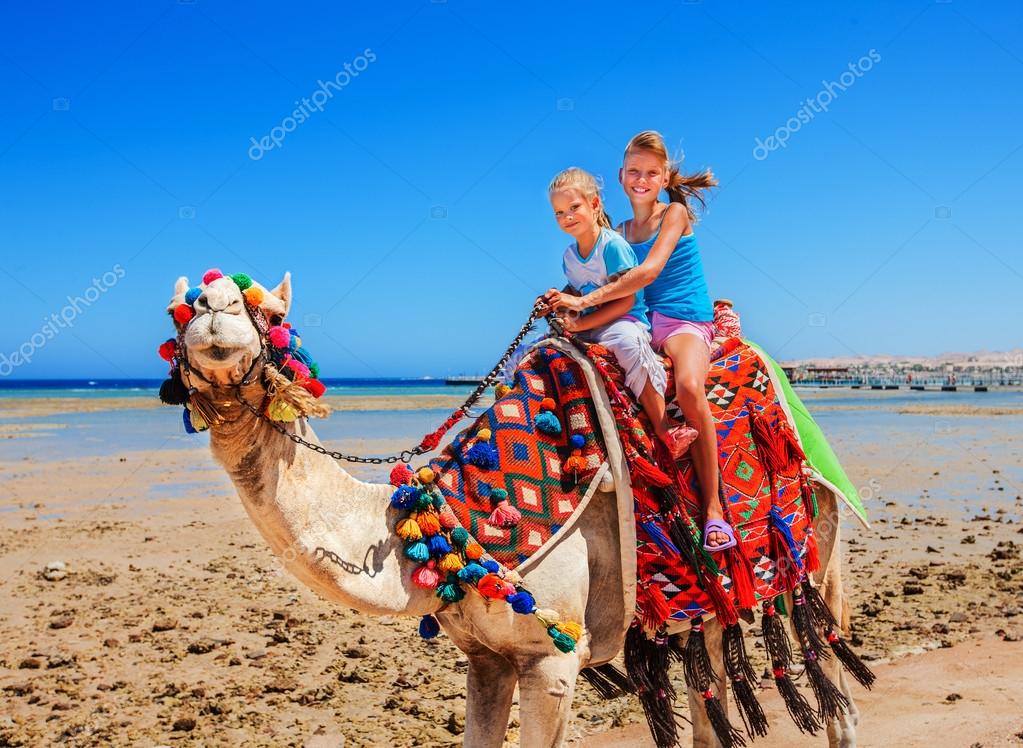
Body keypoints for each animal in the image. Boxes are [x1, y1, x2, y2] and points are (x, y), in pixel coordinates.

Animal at [165, 271, 860, 747]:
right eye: (184, 308)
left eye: (271, 311)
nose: (216, 306)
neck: (445, 521)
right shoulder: (487, 659)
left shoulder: (554, 659)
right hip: (704, 605)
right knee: (708, 682)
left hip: (817, 549)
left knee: (834, 679)